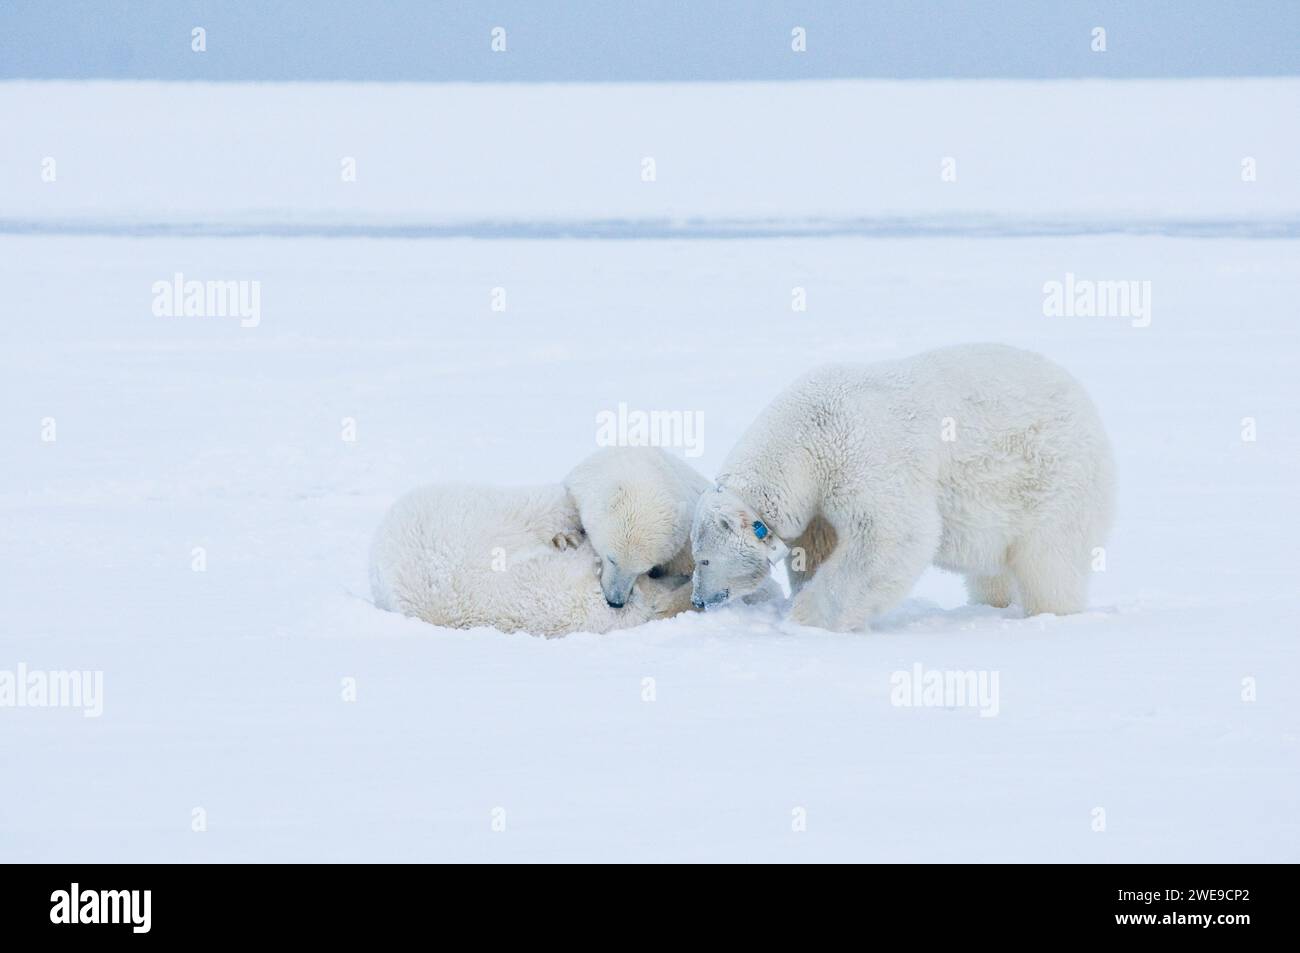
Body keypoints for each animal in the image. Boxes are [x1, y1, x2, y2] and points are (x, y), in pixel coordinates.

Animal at [689, 344, 1116, 631]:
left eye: (703, 560)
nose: (698, 599)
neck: (808, 435)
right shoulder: (820, 500)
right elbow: (817, 545)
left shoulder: (863, 455)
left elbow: (892, 536)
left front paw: (805, 618)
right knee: (991, 569)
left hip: (1050, 476)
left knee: (1050, 560)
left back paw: (1051, 613)